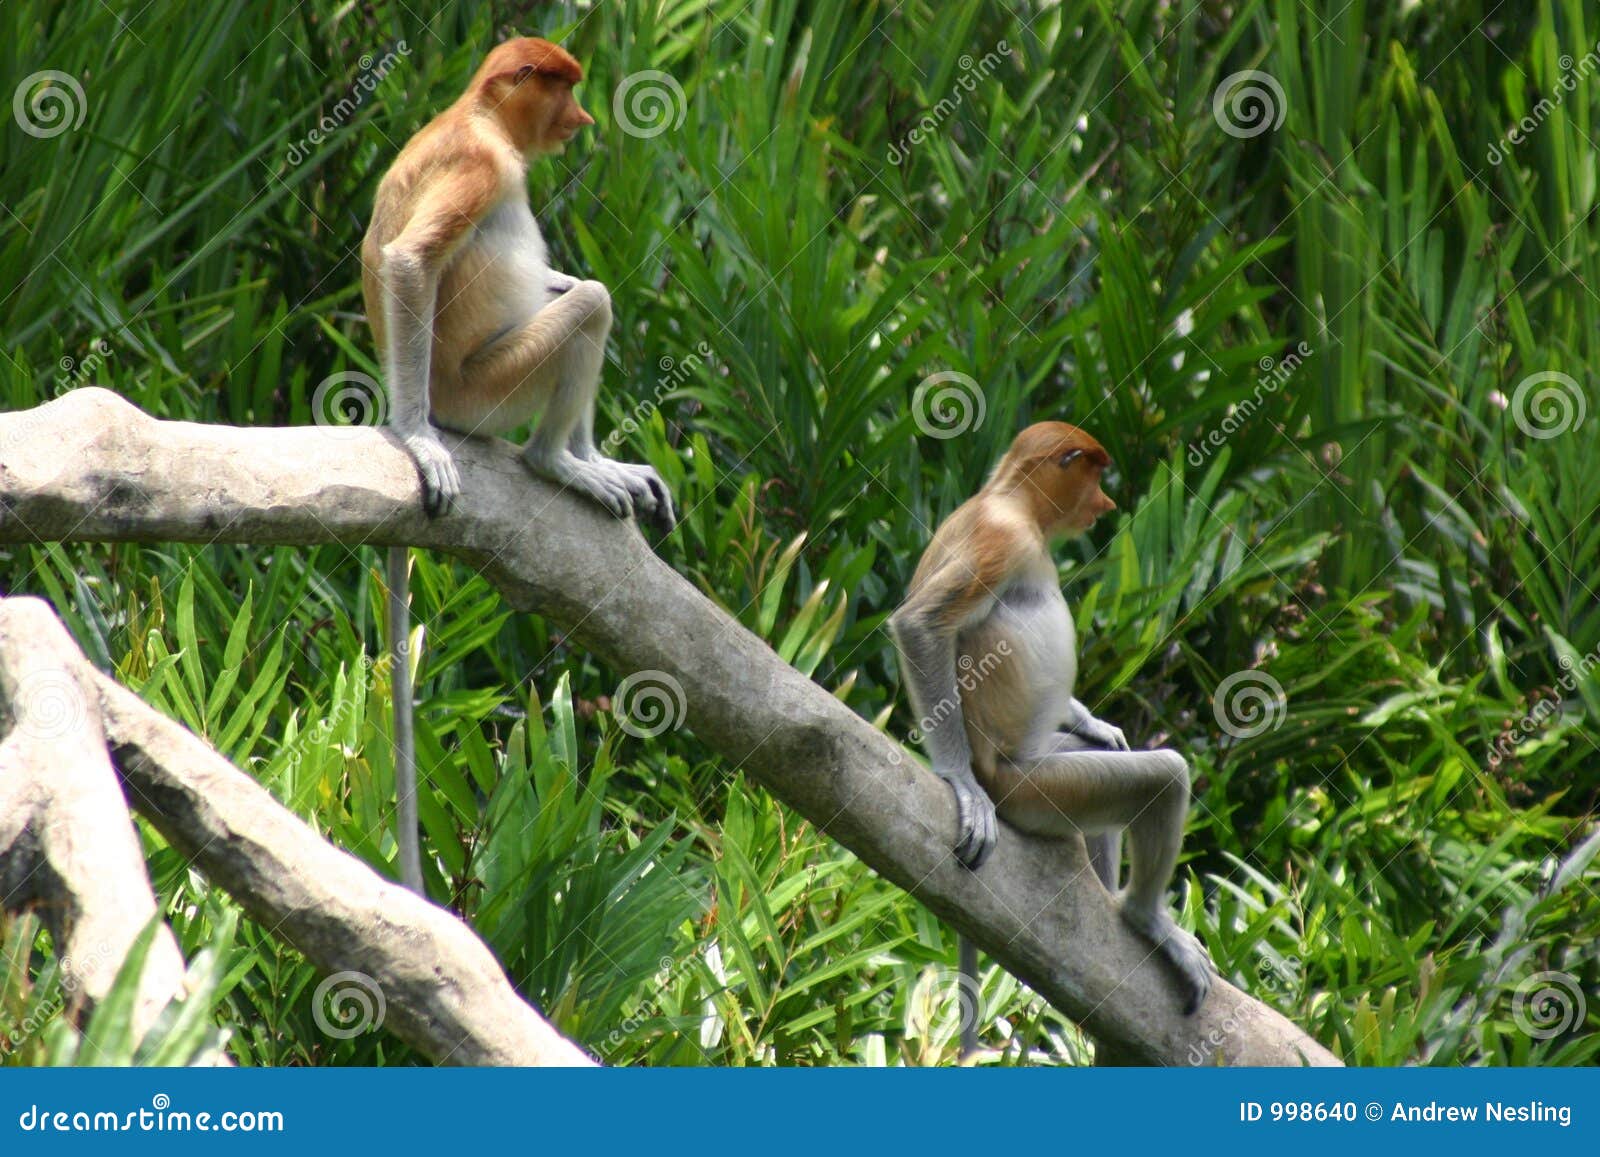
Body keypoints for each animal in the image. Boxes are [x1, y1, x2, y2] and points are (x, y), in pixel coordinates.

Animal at [360, 37, 674, 892]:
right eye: (563, 91)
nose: (584, 119)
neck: (477, 114)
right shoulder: (485, 165)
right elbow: (410, 261)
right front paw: (415, 439)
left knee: (586, 298)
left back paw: (597, 463)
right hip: (482, 391)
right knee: (591, 307)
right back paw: (555, 461)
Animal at [888, 421, 1212, 1042]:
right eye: (1093, 475)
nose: (1106, 506)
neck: (1009, 498)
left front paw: (1098, 723)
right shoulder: (1003, 538)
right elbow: (919, 624)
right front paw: (960, 784)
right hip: (1031, 788)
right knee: (1159, 778)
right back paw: (1141, 917)